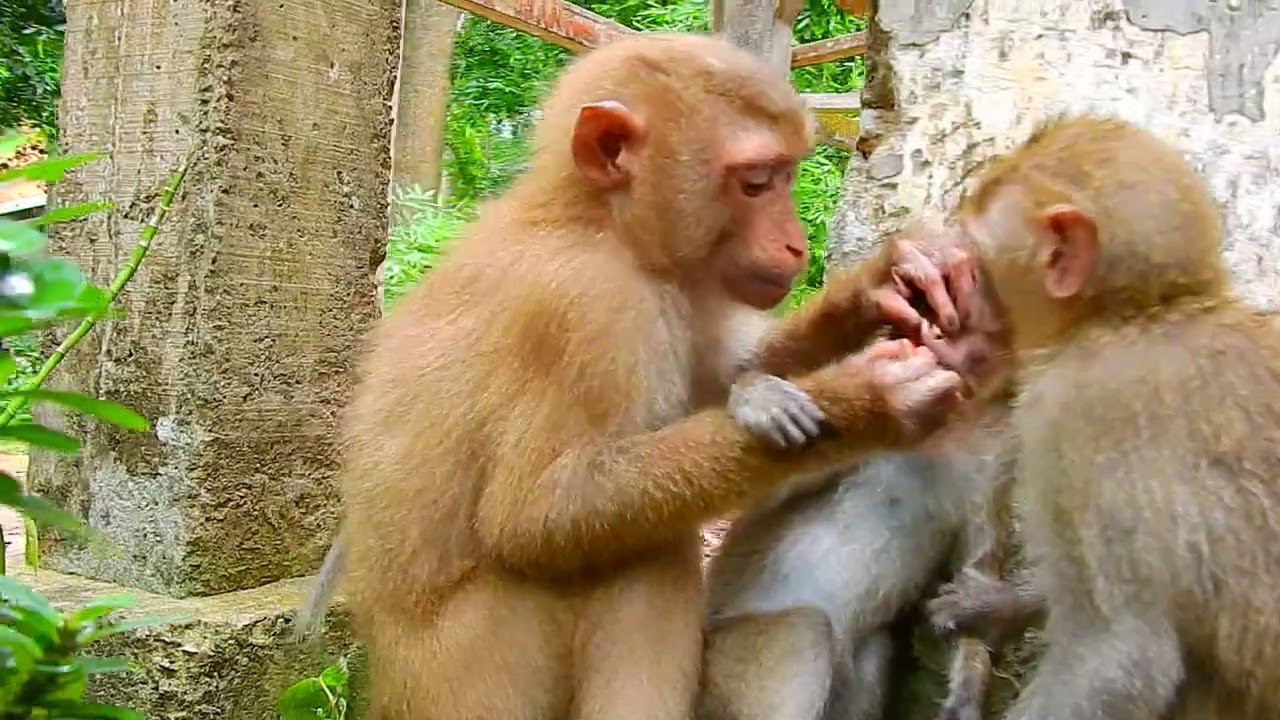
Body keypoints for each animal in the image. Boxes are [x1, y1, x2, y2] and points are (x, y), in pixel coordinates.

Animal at [334, 34, 983, 720]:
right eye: (757, 182)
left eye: (786, 174)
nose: (795, 245)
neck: (602, 225)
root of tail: (387, 686)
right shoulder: (590, 308)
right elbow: (533, 519)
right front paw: (869, 400)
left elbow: (725, 376)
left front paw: (884, 283)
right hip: (480, 678)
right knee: (636, 551)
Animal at [920, 113, 1280, 720]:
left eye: (979, 271)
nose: (955, 316)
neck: (1139, 315)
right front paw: (997, 605)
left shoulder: (1074, 415)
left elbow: (1119, 656)